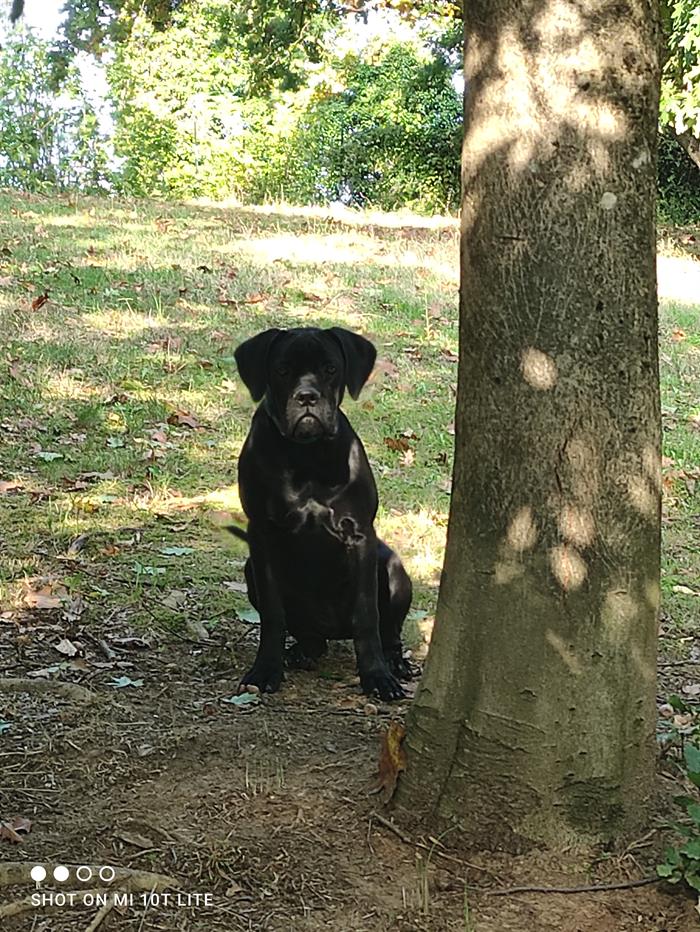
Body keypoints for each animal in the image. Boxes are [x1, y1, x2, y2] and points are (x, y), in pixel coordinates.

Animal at [232, 328, 412, 700]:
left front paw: (376, 676)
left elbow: (367, 615)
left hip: (393, 568)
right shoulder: (262, 537)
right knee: (309, 637)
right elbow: (273, 615)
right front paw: (265, 669)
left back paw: (395, 662)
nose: (307, 396)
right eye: (282, 370)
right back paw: (300, 651)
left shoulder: (359, 534)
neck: (307, 455)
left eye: (330, 369)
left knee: (389, 630)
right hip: (250, 570)